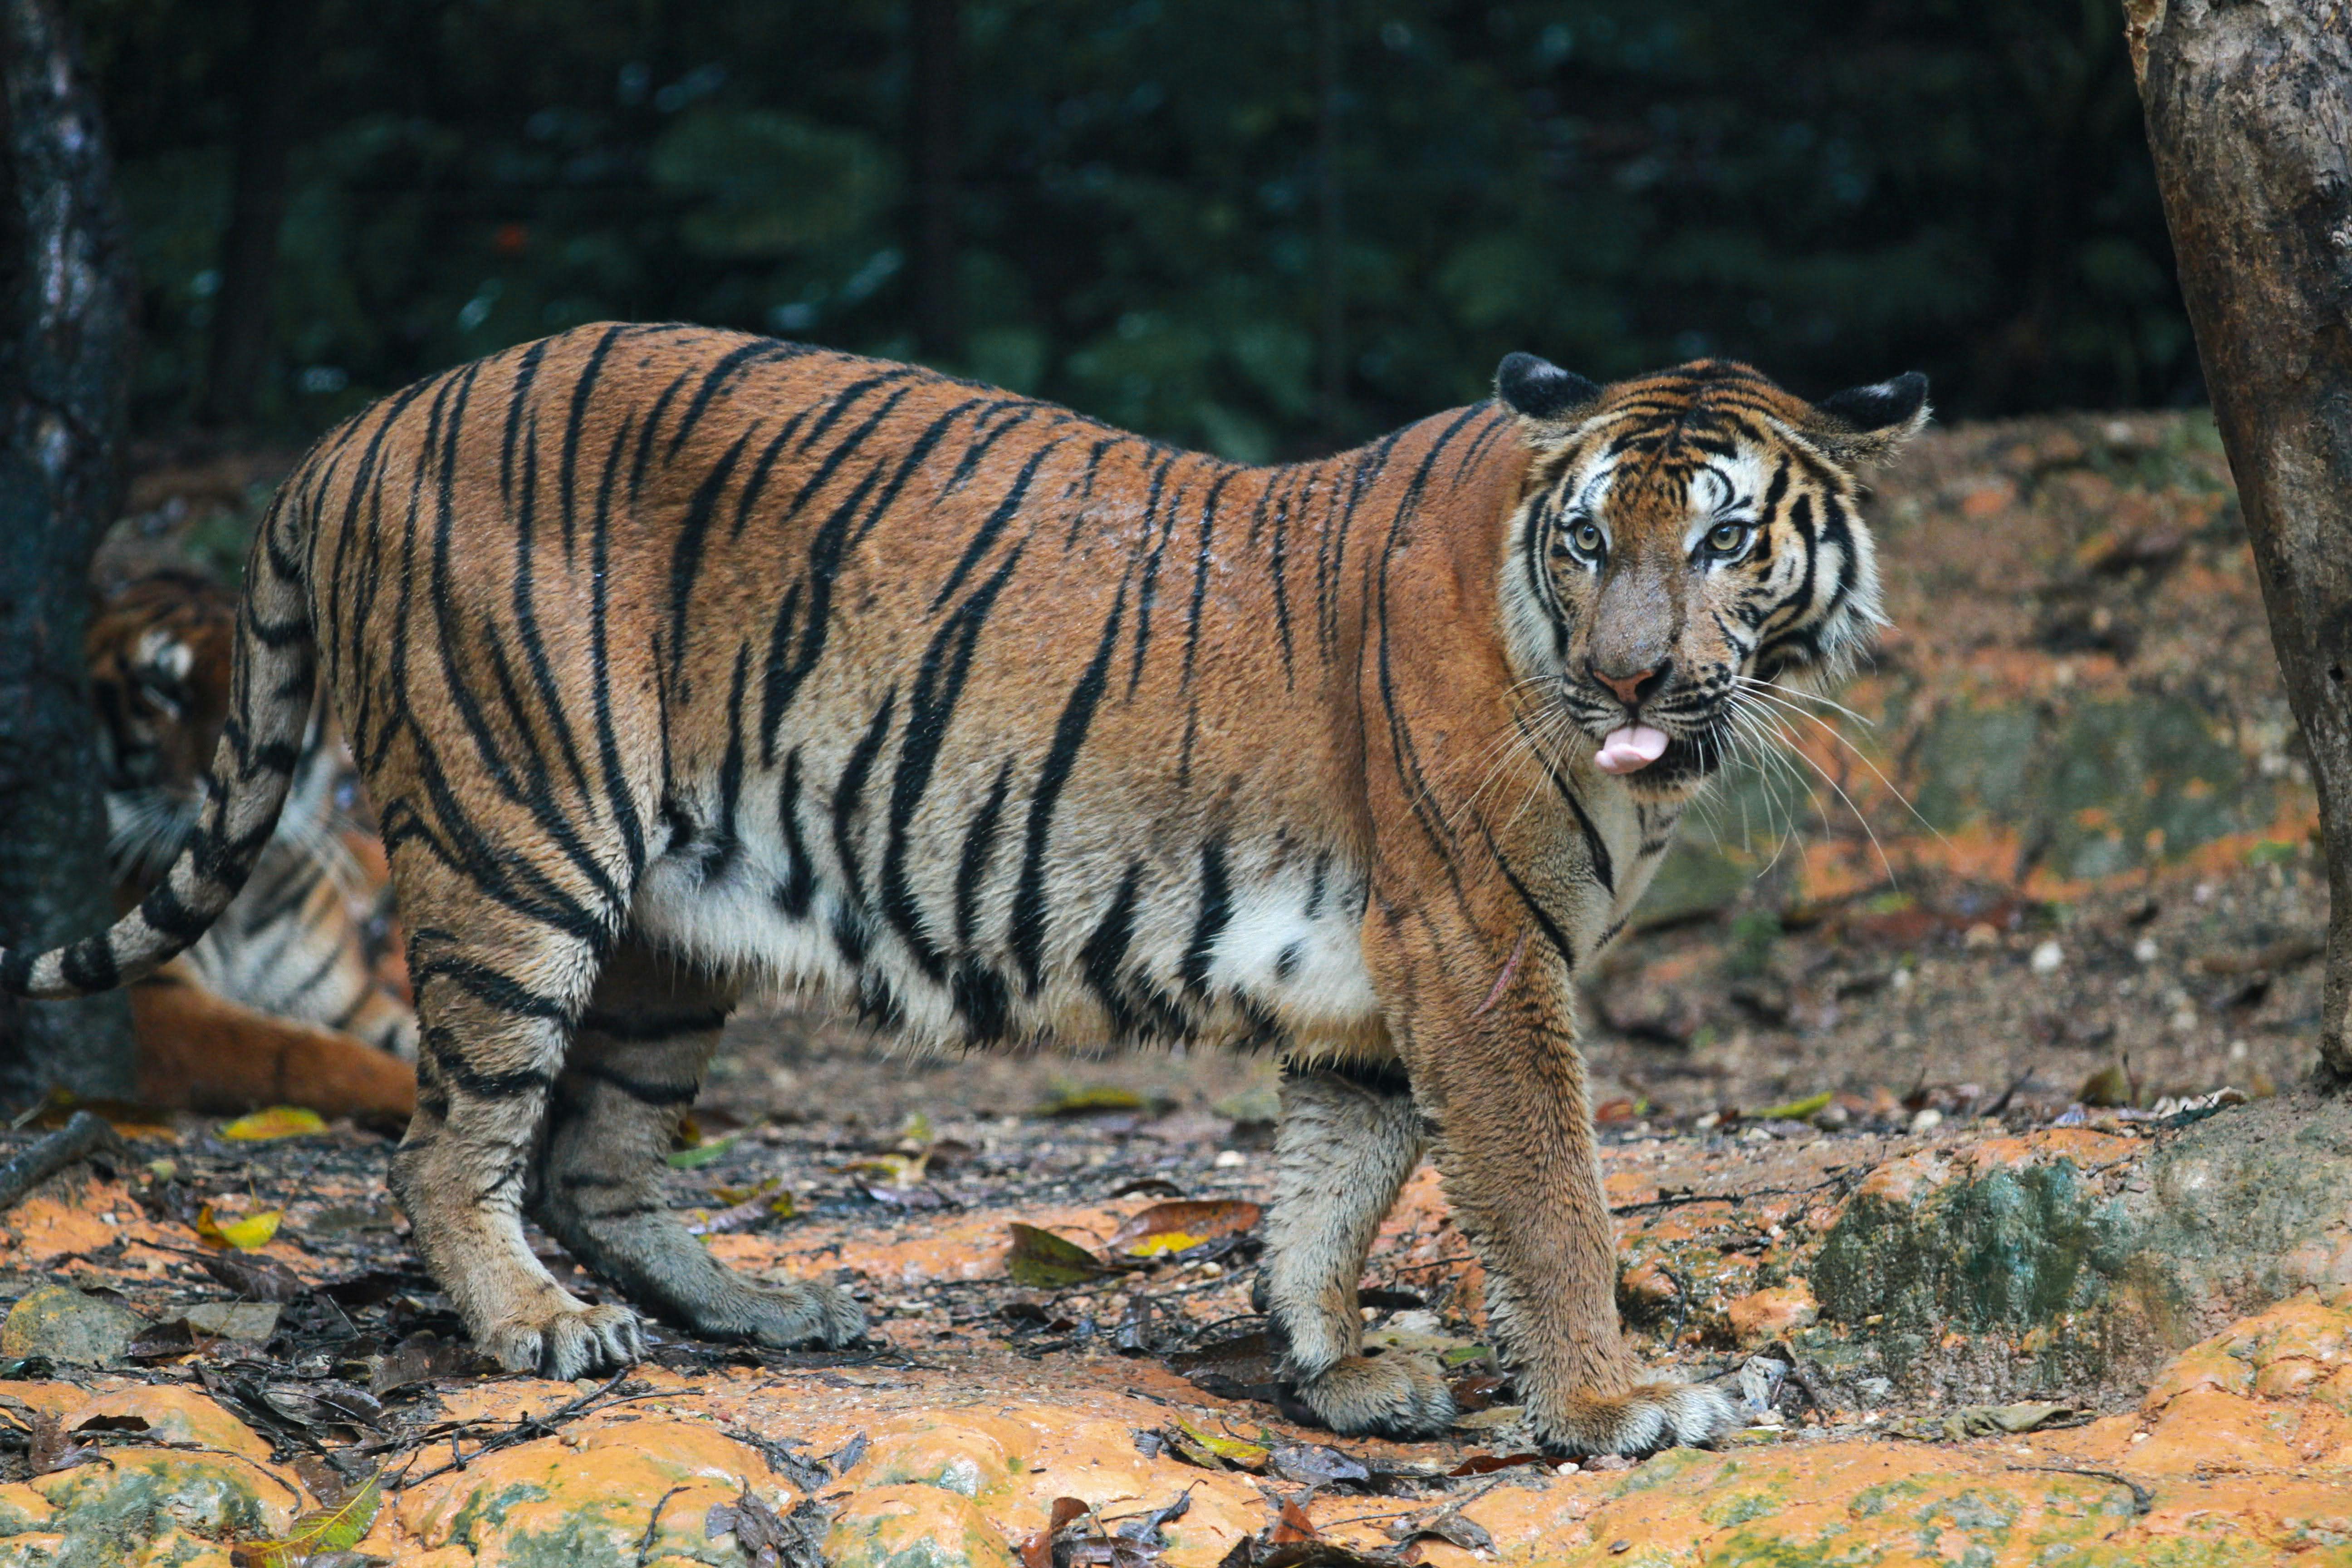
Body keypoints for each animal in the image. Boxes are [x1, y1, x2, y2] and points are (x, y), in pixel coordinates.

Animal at [86, 571, 419, 1115]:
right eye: (162, 689)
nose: (237, 777)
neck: (249, 890)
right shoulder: (158, 1008)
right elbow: (311, 1057)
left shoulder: (349, 1002)